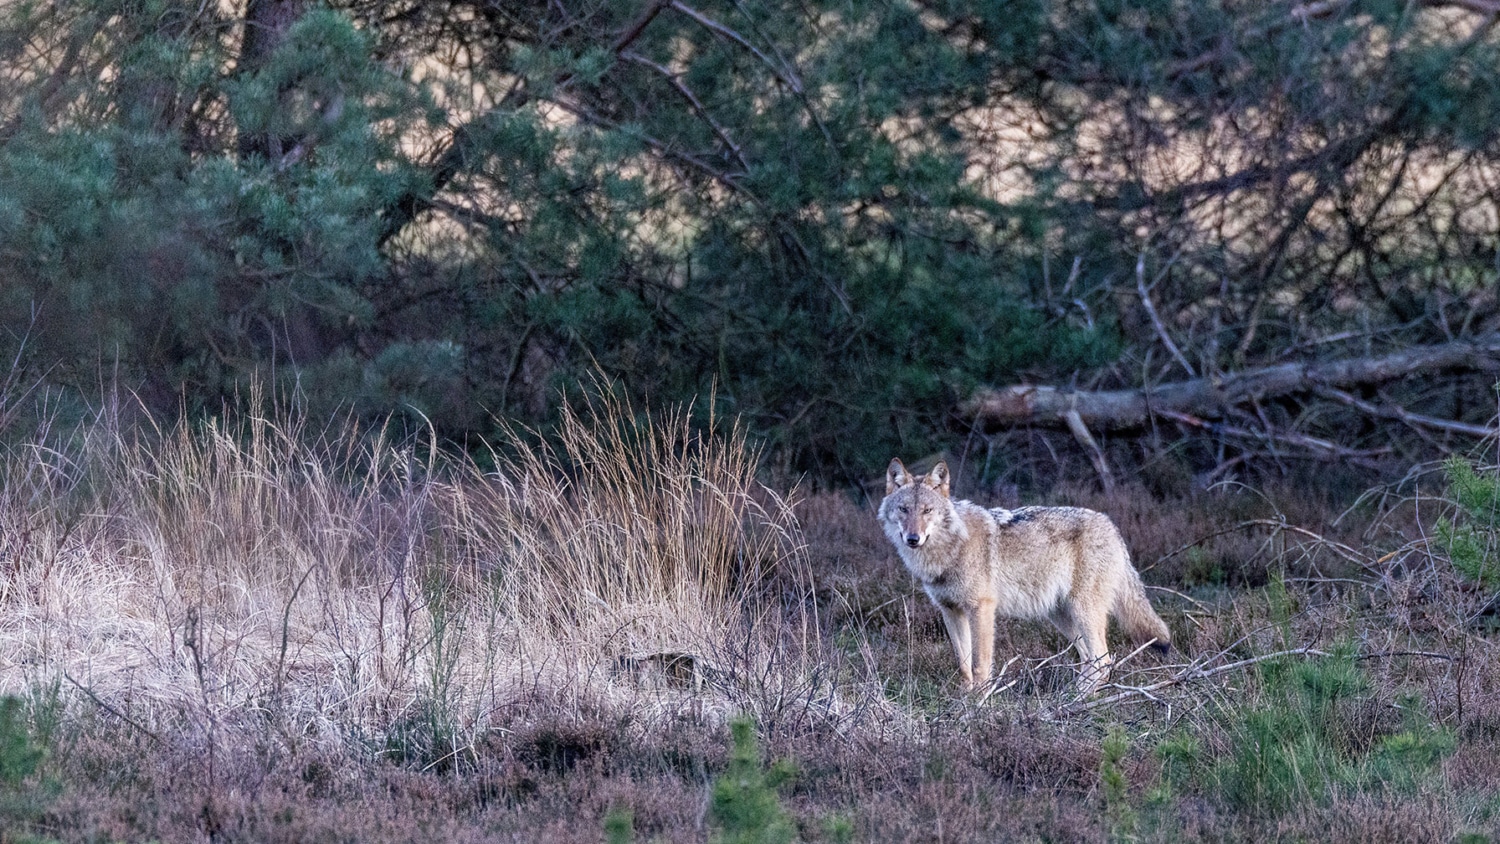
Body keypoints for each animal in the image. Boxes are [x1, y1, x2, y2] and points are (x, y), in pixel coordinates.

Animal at [878, 458, 1170, 694]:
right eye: (904, 509)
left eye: (927, 510)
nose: (913, 538)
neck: (949, 548)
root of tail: (1112, 526)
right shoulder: (950, 611)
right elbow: (963, 666)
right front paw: (963, 701)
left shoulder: (981, 609)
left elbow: (980, 665)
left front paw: (978, 706)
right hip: (1061, 616)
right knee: (1090, 660)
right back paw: (1068, 701)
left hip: (1082, 611)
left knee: (1104, 660)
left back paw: (1074, 703)